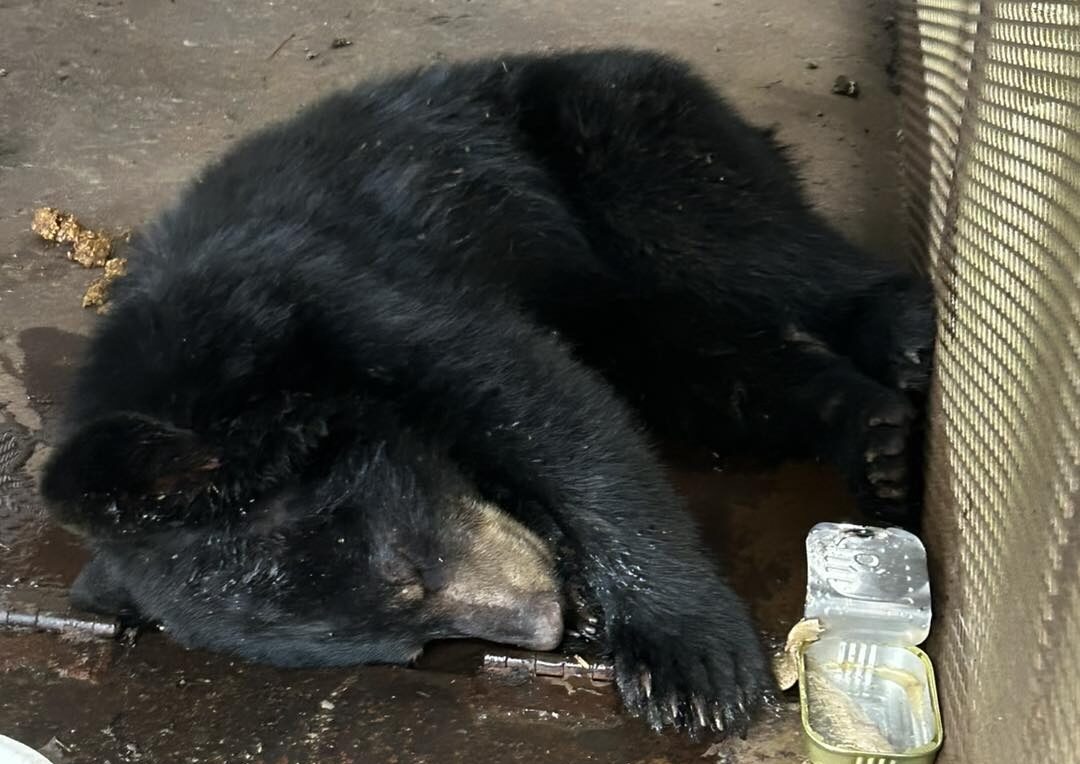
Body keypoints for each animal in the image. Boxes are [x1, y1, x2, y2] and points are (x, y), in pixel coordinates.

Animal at [40, 49, 934, 739]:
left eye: (409, 567)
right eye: (412, 644)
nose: (547, 621)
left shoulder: (329, 290)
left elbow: (541, 404)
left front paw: (693, 663)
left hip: (622, 145)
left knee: (739, 246)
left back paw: (900, 332)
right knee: (714, 371)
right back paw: (875, 438)